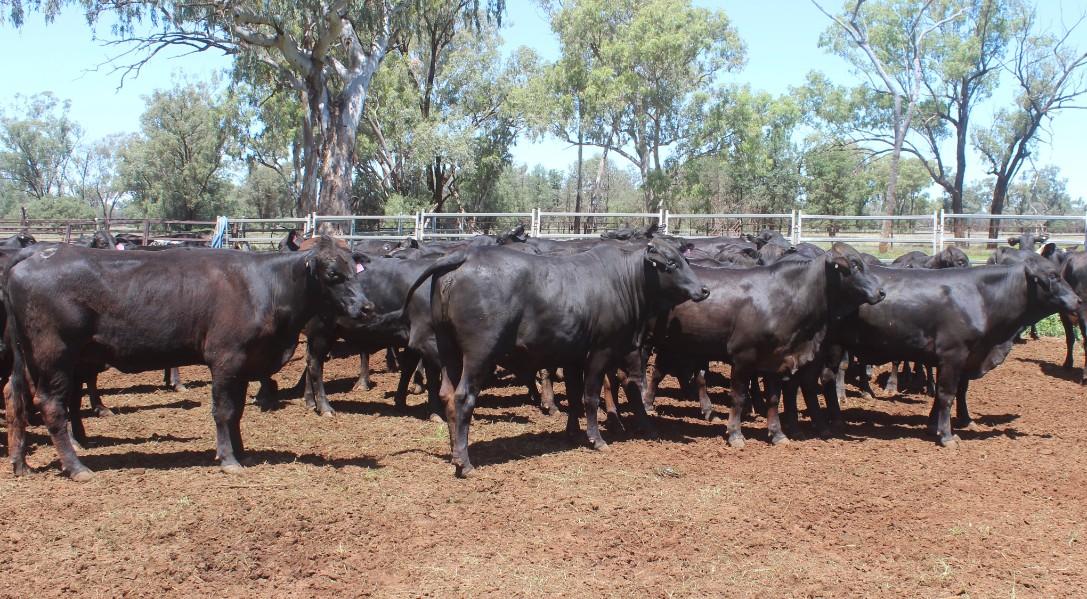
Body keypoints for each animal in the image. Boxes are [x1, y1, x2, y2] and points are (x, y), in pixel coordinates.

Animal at [3, 236, 374, 481]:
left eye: (355, 271)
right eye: (334, 275)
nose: (367, 307)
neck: (265, 285)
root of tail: (34, 255)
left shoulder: (243, 364)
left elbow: (237, 411)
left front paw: (241, 451)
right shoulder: (225, 359)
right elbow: (223, 411)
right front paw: (228, 458)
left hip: (32, 359)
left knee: (16, 397)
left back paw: (22, 463)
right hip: (55, 358)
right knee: (52, 406)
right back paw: (77, 466)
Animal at [410, 238, 709, 477]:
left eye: (685, 259)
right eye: (671, 263)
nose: (704, 289)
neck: (624, 281)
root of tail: (466, 255)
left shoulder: (573, 355)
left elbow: (575, 396)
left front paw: (572, 433)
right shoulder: (600, 351)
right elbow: (590, 397)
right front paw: (596, 439)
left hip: (448, 348)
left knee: (448, 395)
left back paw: (454, 451)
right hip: (479, 351)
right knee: (463, 397)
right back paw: (465, 463)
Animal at [833, 257, 1080, 447]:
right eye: (1054, 276)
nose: (1078, 300)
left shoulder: (965, 357)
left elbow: (954, 392)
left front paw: (936, 426)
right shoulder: (954, 355)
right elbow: (947, 394)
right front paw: (947, 435)